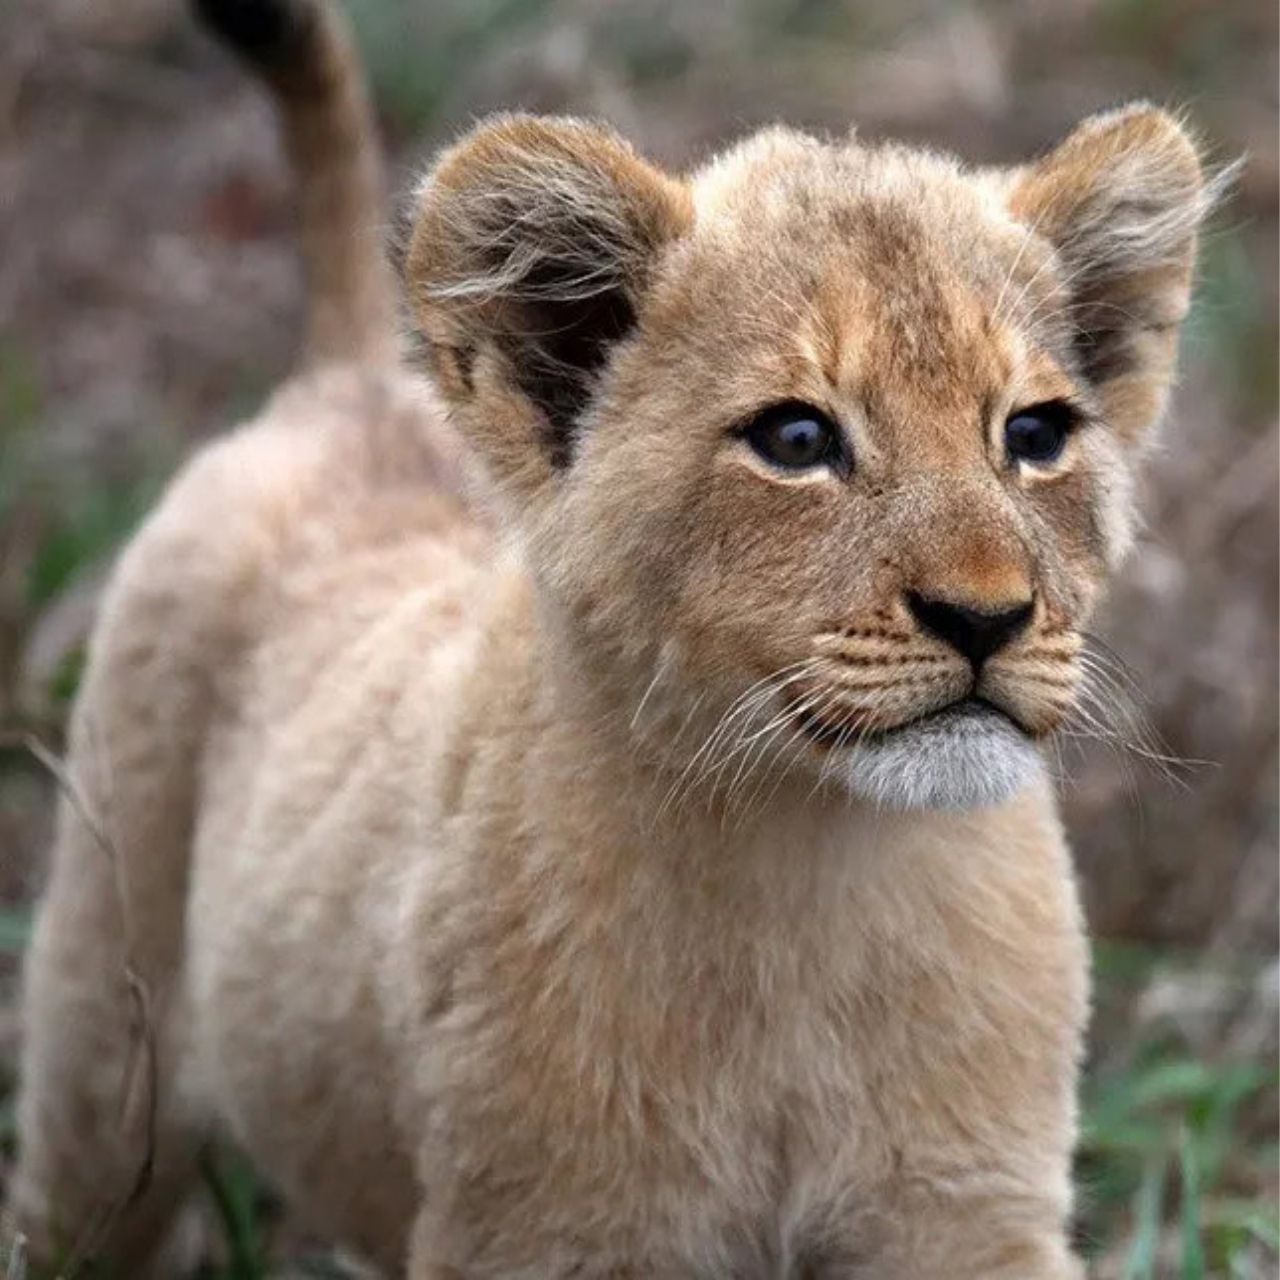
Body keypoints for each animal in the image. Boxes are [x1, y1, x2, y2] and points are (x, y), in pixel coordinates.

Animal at [7, 0, 1219, 1274]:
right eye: (796, 439)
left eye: (1033, 434)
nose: (986, 615)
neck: (814, 868)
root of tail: (345, 385)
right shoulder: (546, 1230)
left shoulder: (964, 1212)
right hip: (101, 1057)